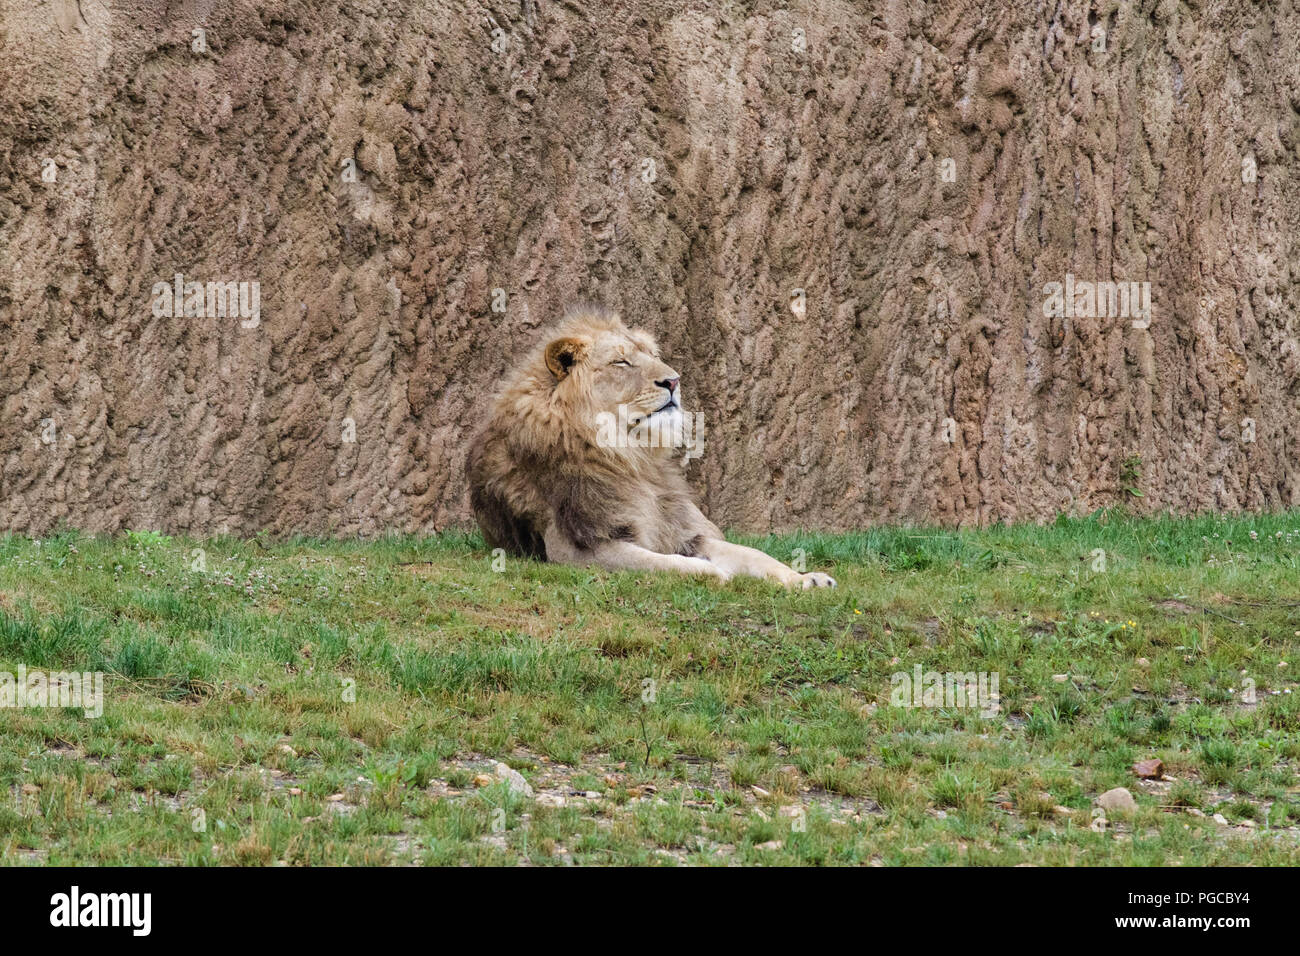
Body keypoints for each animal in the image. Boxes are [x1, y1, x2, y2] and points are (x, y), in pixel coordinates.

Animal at [465, 304, 836, 588]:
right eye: (621, 362)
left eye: (653, 356)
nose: (674, 380)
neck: (632, 458)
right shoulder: (577, 547)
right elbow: (664, 563)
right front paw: (714, 573)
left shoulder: (684, 531)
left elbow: (753, 554)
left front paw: (806, 579)